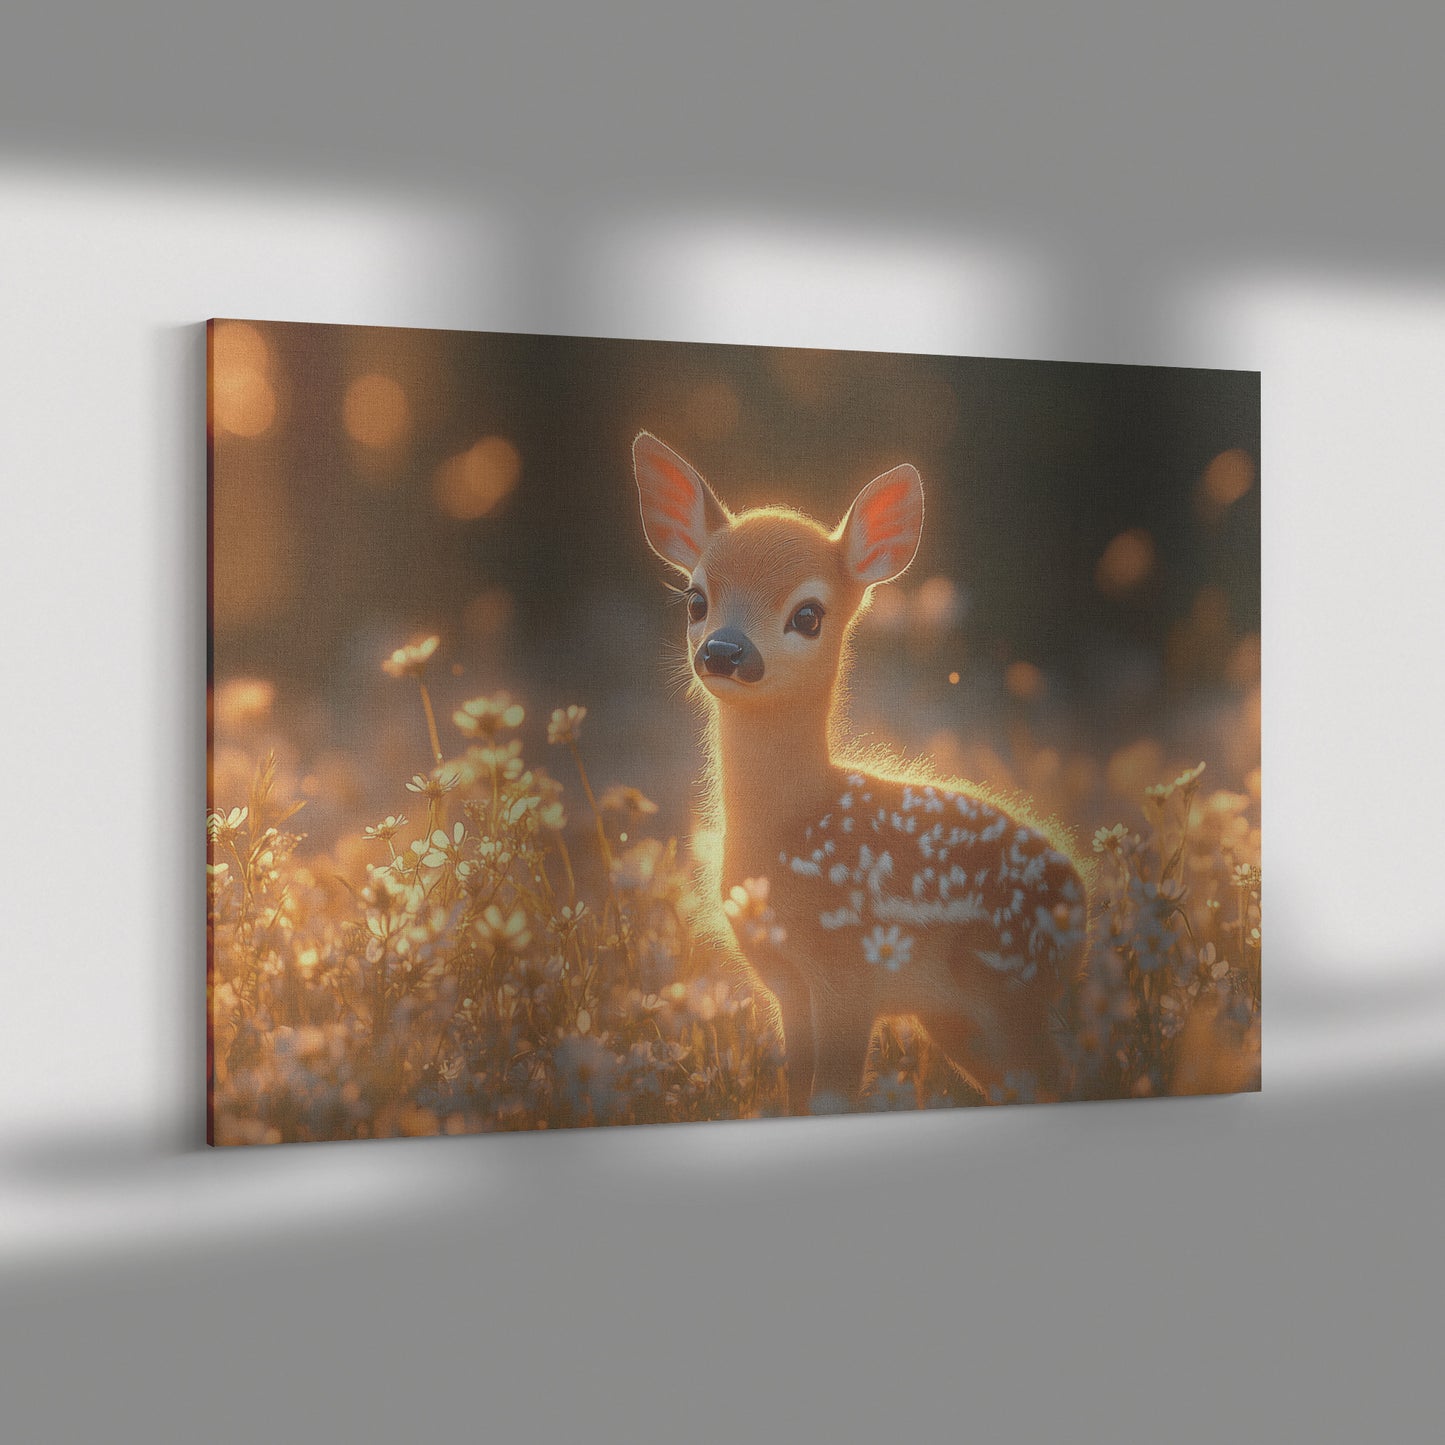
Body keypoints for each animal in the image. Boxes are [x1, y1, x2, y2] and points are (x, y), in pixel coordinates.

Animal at [633, 432, 1089, 1115]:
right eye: (696, 599)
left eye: (808, 614)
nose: (724, 651)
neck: (790, 826)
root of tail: (1084, 910)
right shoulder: (786, 983)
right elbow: (798, 1091)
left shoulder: (846, 964)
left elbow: (834, 1093)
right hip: (961, 1019)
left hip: (1009, 989)